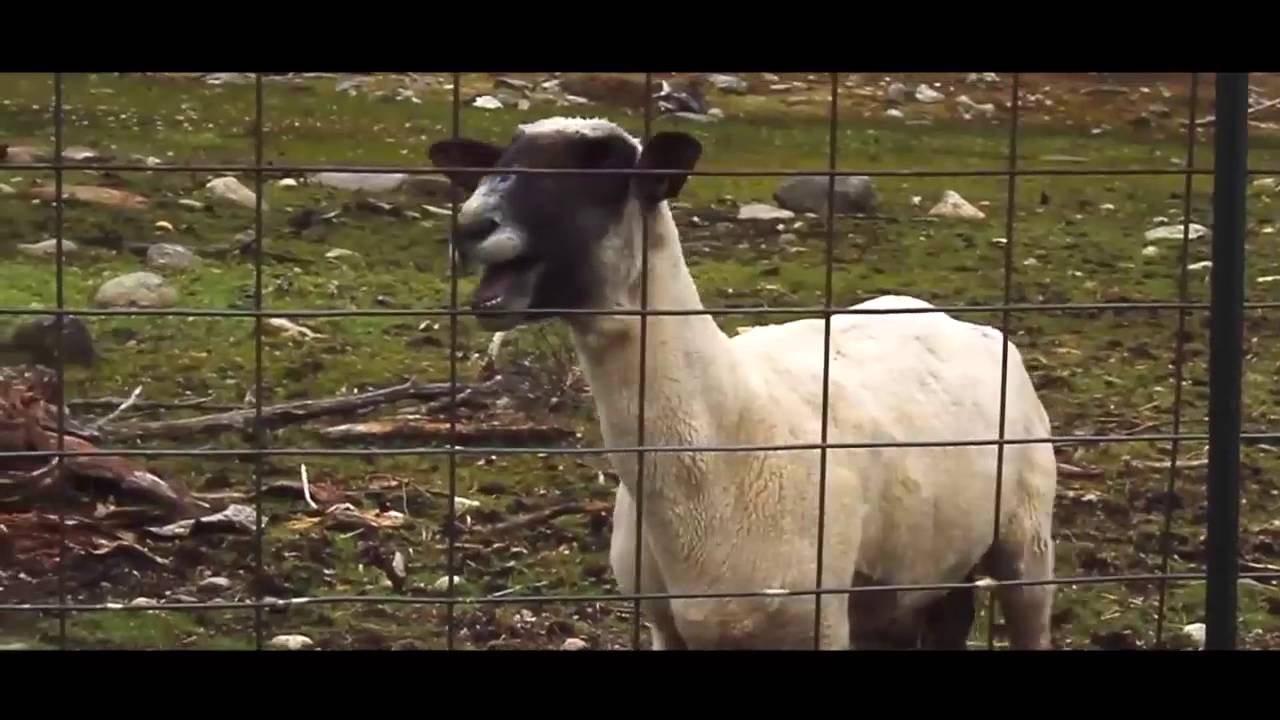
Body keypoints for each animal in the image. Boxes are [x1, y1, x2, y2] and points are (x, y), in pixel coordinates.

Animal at [428, 116, 1057, 650]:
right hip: (916, 574)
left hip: (1026, 540)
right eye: (500, 158)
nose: (471, 226)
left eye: (602, 171)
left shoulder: (820, 621)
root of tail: (948, 316)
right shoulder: (666, 627)